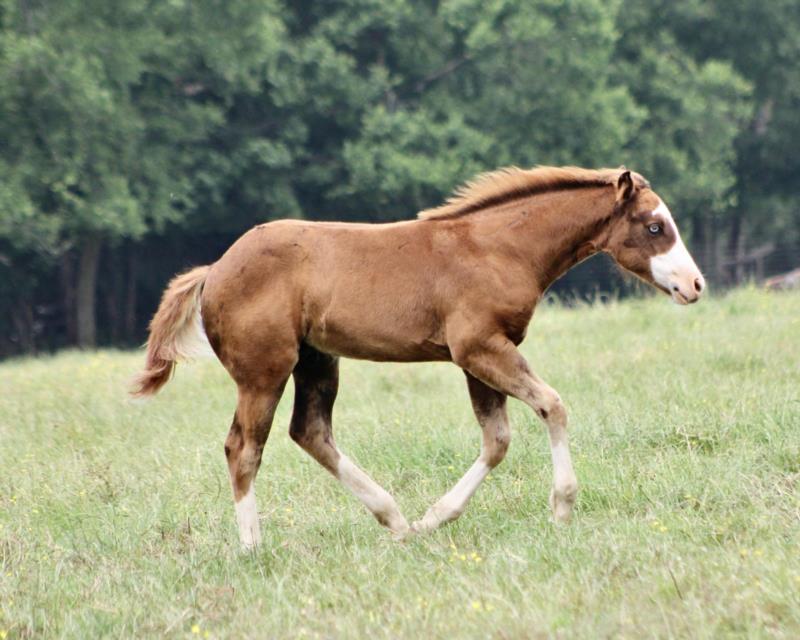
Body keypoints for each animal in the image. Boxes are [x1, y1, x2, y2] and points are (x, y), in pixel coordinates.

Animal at [133, 166, 705, 548]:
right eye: (654, 226)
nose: (695, 284)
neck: (498, 249)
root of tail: (214, 270)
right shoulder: (479, 346)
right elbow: (551, 405)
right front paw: (562, 507)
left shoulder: (480, 355)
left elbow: (497, 440)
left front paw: (434, 518)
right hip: (263, 371)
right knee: (244, 448)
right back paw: (254, 546)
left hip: (317, 360)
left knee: (310, 431)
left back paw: (396, 520)